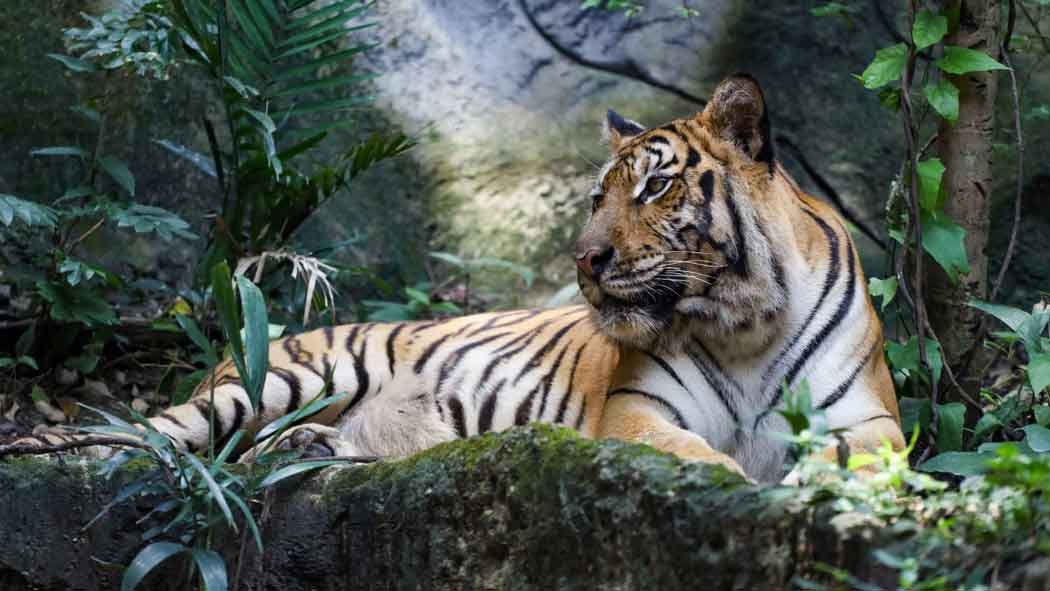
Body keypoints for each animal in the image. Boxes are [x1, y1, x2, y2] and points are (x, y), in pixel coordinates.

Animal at [26, 74, 904, 483]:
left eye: (656, 187)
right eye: (598, 197)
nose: (584, 260)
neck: (743, 321)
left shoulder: (871, 421)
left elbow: (852, 458)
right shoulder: (638, 411)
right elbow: (699, 458)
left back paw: (311, 445)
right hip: (274, 380)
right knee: (139, 435)